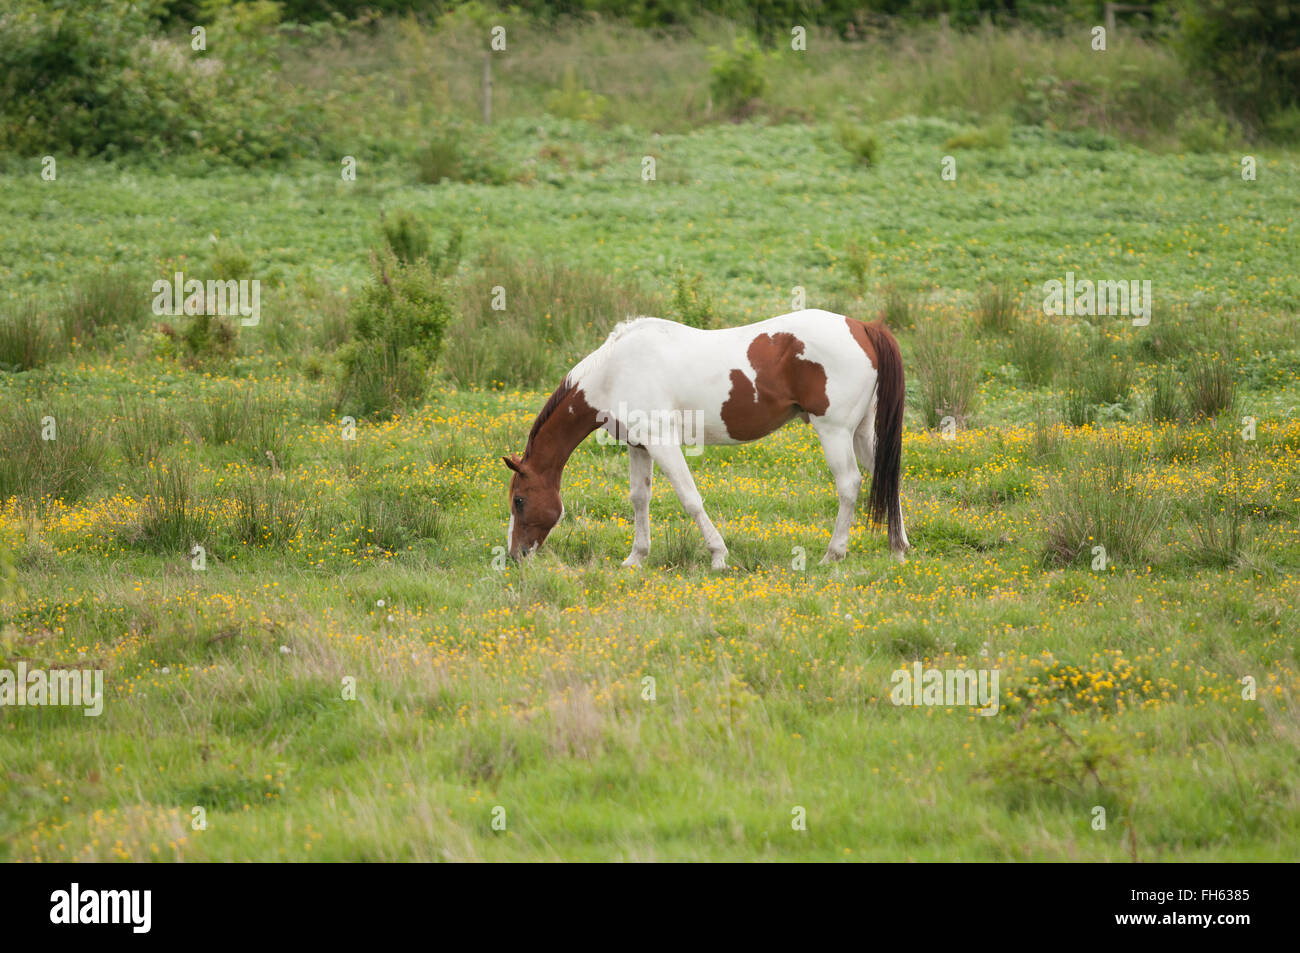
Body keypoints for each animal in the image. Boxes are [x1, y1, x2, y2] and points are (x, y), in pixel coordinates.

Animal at [503, 308, 908, 568]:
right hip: (861, 433)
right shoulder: (639, 447)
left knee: (849, 484)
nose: (515, 556)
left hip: (834, 432)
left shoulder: (663, 444)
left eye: (519, 501)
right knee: (887, 476)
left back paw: (833, 554)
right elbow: (639, 500)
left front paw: (718, 555)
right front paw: (636, 558)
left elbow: (690, 499)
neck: (615, 370)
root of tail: (863, 327)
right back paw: (898, 548)